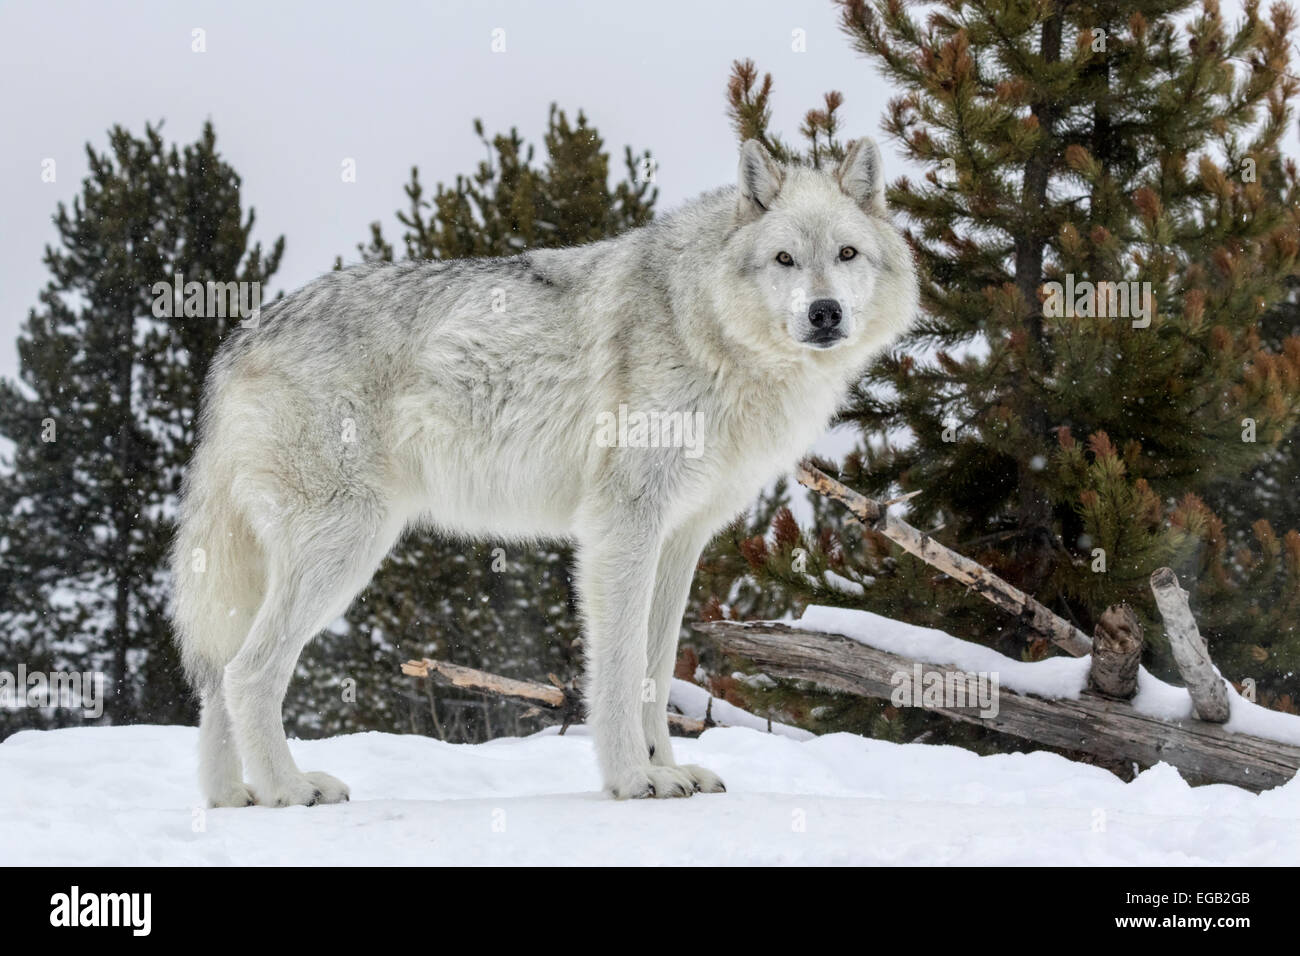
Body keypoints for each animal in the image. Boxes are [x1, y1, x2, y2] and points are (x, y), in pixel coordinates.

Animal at [171, 137, 919, 806]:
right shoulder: (620, 527)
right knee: (246, 674)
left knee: (215, 677)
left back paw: (231, 799)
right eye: (784, 258)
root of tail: (239, 340)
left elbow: (655, 673)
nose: (825, 313)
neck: (705, 328)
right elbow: (619, 668)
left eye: (846, 254)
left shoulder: (680, 540)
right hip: (345, 548)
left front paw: (671, 770)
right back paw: (289, 790)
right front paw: (634, 780)